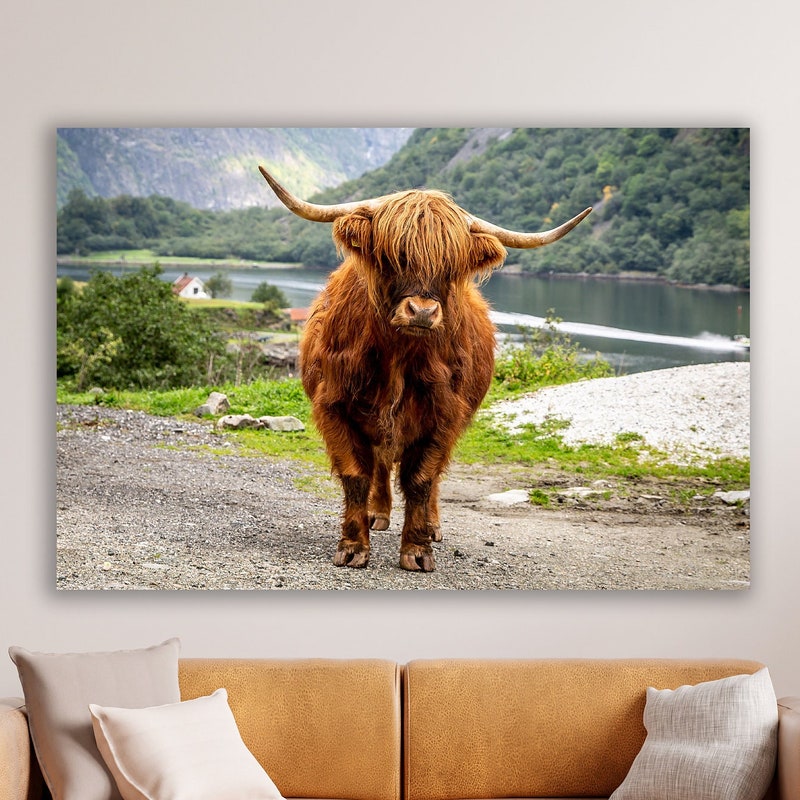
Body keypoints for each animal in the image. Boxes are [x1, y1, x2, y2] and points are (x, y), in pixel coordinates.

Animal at [259, 165, 591, 572]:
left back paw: (431, 526)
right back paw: (378, 514)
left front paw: (417, 550)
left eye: (450, 266)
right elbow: (356, 474)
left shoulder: (445, 416)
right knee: (381, 464)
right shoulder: (333, 406)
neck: (399, 354)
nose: (422, 311)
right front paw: (353, 546)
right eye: (394, 255)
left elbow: (421, 480)